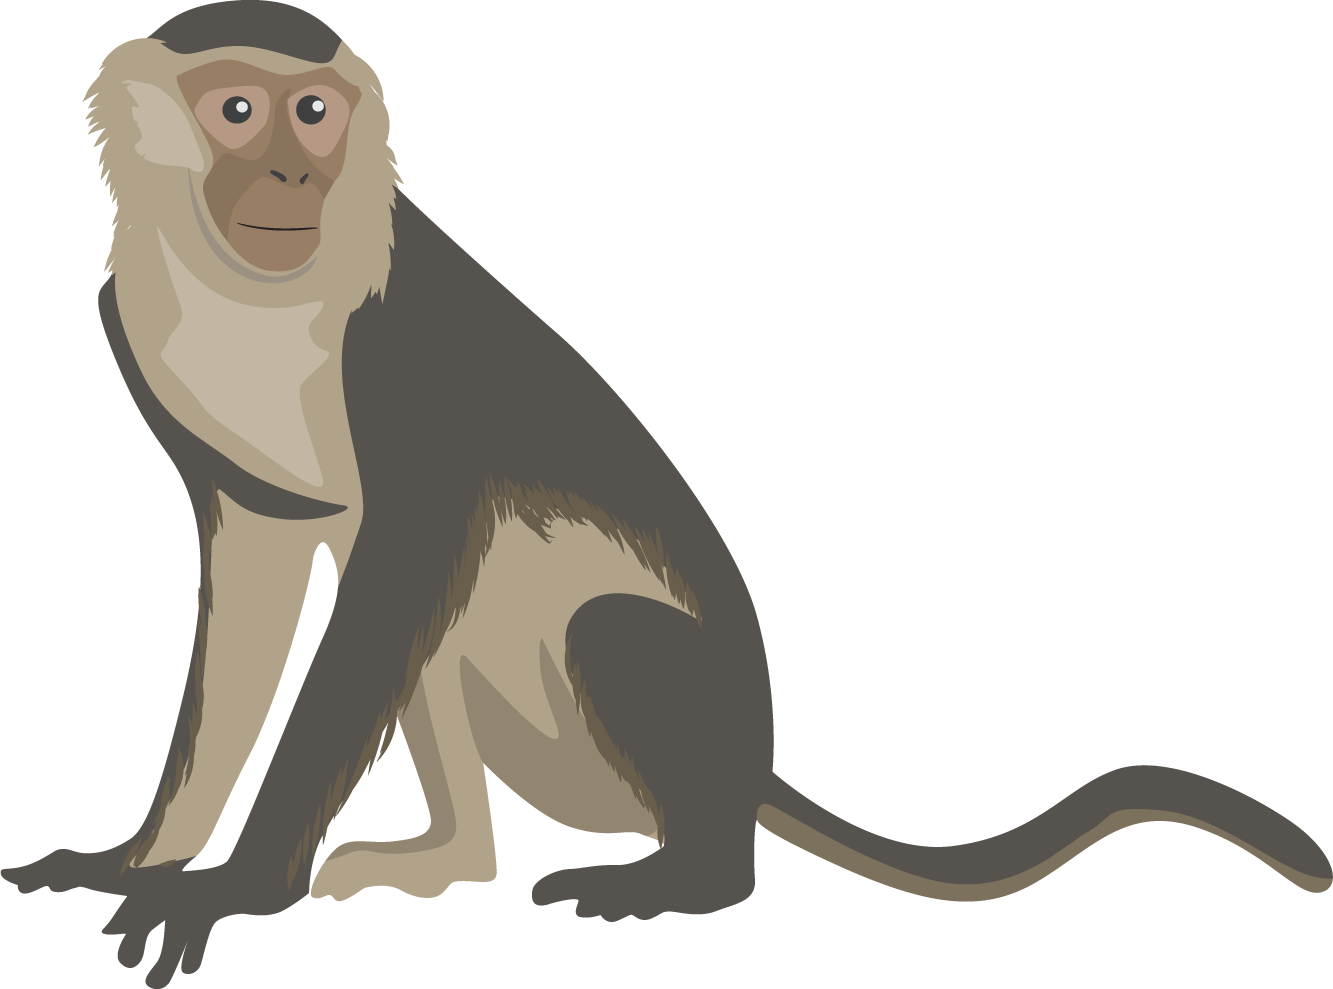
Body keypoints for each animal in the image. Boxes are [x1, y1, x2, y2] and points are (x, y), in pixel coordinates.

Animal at [3, 3, 1328, 986]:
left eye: (313, 114)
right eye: (237, 110)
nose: (289, 171)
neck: (257, 300)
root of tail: (746, 764)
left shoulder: (396, 354)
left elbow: (399, 564)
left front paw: (231, 891)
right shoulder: (135, 326)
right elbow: (270, 581)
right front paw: (143, 858)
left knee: (593, 626)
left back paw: (688, 881)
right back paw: (453, 861)